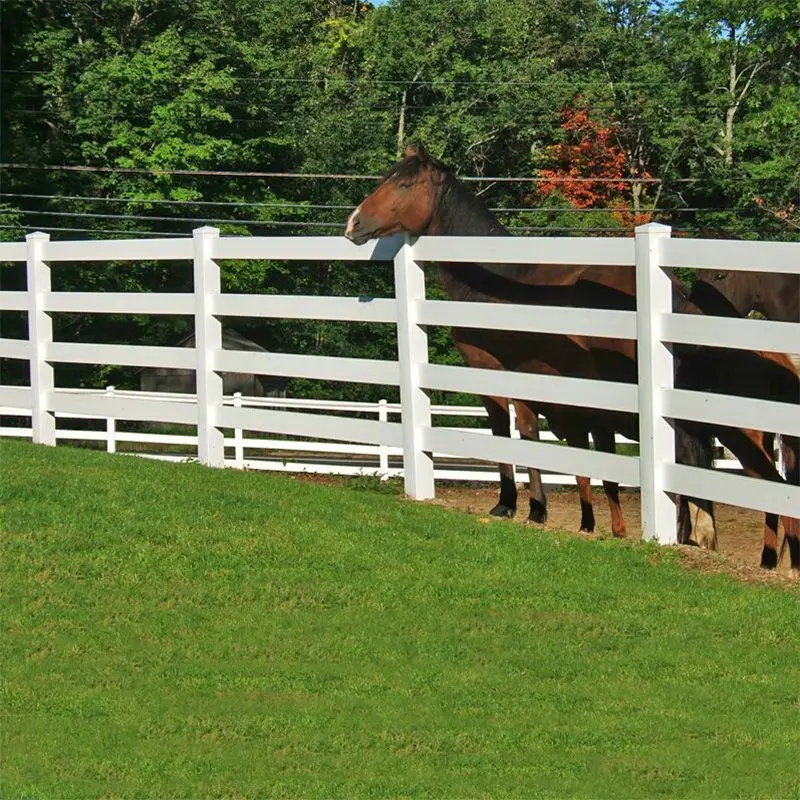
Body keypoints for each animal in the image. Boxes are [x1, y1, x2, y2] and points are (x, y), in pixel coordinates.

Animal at [345, 145, 799, 573]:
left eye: (405, 184)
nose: (353, 224)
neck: (496, 279)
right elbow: (549, 445)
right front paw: (552, 513)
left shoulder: (494, 374)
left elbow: (511, 435)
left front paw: (516, 505)